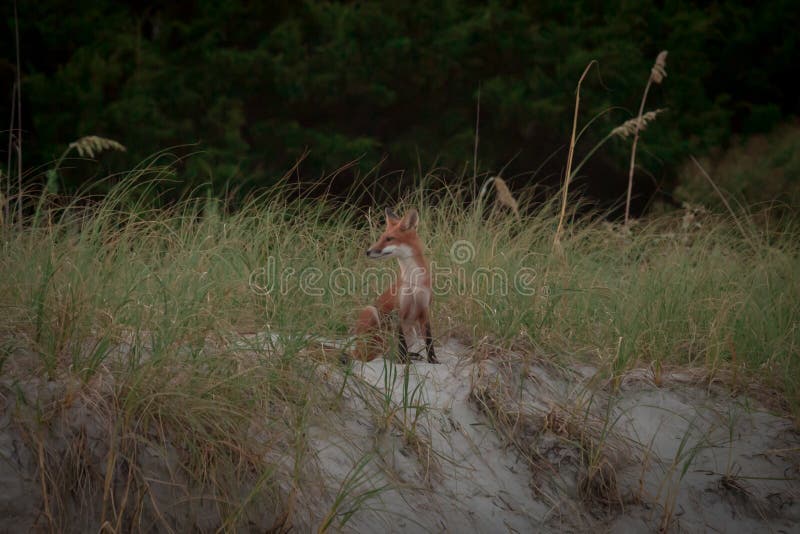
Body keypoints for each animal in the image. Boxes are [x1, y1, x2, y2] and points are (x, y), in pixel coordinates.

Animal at [350, 207, 438, 364]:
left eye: (389, 239)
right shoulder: (399, 312)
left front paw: (434, 361)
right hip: (371, 311)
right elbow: (401, 343)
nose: (367, 252)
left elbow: (429, 340)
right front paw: (404, 363)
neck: (413, 281)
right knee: (372, 356)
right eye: (381, 238)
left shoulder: (424, 309)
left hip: (412, 334)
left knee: (388, 354)